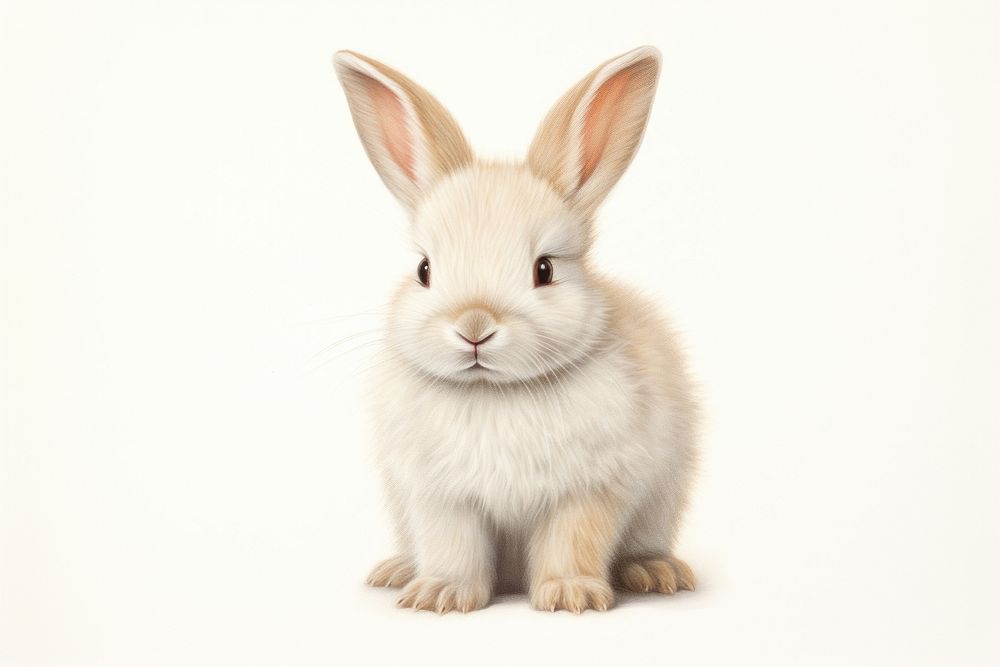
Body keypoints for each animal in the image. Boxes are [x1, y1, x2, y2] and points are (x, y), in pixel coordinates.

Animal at [333, 46, 699, 614]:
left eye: (543, 270)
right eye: (424, 270)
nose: (474, 327)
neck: (494, 394)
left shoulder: (589, 490)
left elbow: (573, 541)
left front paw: (571, 595)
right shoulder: (438, 496)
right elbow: (452, 546)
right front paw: (439, 595)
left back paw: (655, 571)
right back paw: (397, 571)